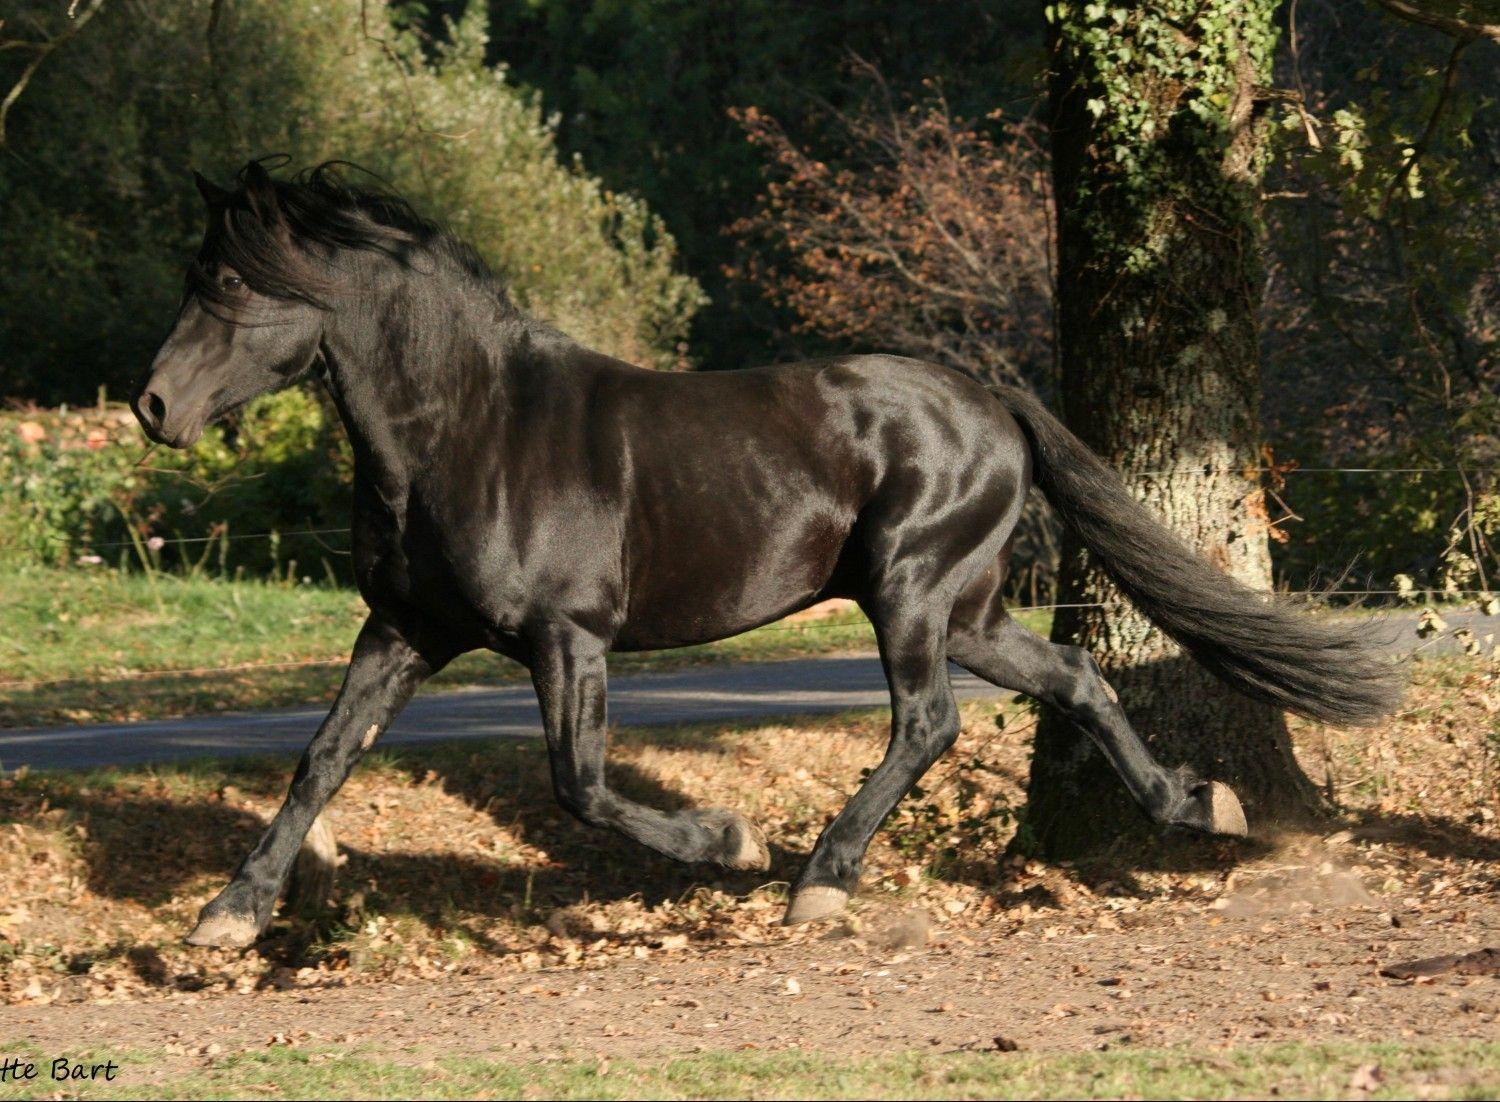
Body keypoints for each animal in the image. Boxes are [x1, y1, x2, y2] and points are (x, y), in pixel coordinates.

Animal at [133, 160, 1401, 948]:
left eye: (230, 282)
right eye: (192, 277)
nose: (152, 407)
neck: (474, 428)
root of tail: (989, 399)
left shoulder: (567, 637)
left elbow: (581, 784)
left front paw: (727, 840)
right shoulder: (405, 628)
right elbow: (321, 759)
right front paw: (229, 914)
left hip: (910, 590)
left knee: (928, 721)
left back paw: (815, 882)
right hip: (970, 606)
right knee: (1078, 677)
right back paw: (1203, 806)